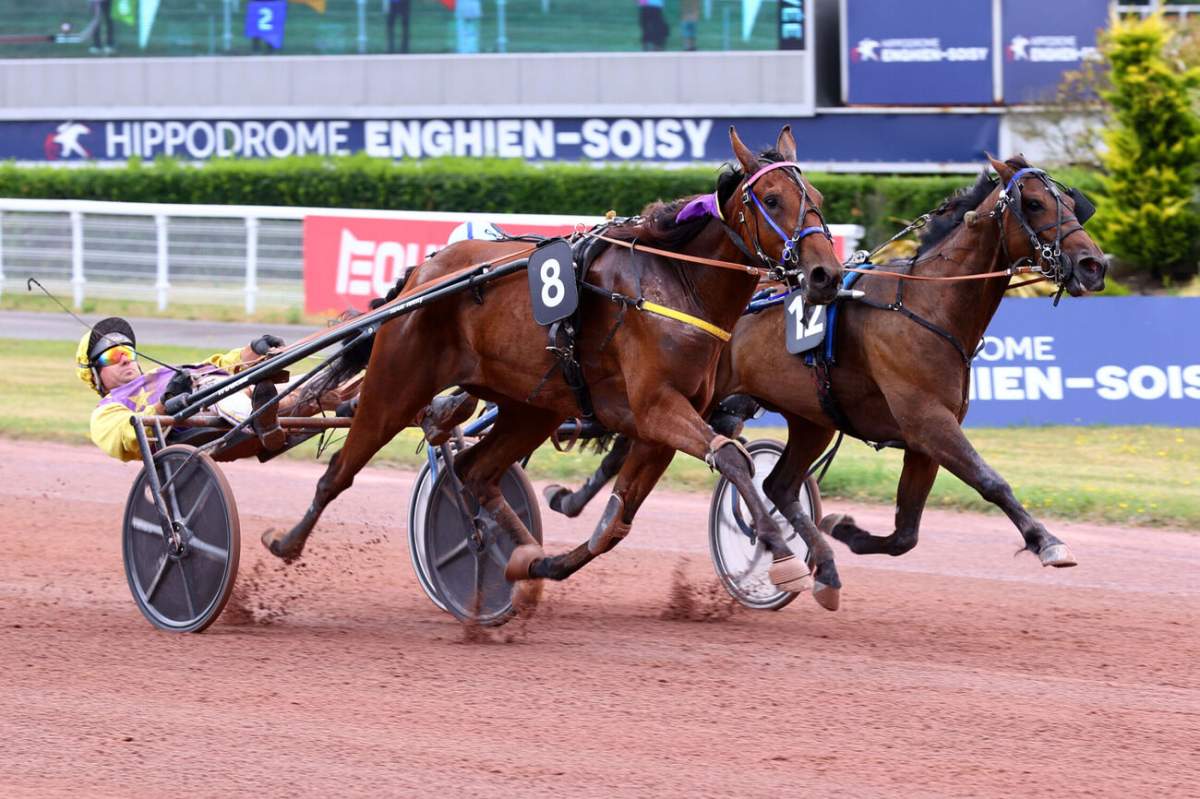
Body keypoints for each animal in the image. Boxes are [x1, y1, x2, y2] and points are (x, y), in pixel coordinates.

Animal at [263, 126, 845, 608]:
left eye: (817, 199)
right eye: (771, 199)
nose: (825, 274)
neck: (677, 284)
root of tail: (424, 272)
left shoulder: (659, 427)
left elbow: (614, 525)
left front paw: (542, 563)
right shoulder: (657, 408)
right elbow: (732, 460)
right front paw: (785, 557)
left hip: (531, 406)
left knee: (475, 471)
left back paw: (518, 556)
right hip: (396, 385)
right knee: (339, 473)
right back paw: (285, 540)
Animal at [540, 155, 1108, 610]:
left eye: (1072, 203)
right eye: (1033, 203)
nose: (1093, 265)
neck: (926, 305)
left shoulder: (924, 438)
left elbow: (906, 533)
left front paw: (846, 531)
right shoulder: (928, 422)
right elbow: (992, 482)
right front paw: (1048, 542)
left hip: (807, 415)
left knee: (776, 484)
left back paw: (822, 564)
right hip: (685, 395)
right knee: (634, 448)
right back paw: (570, 501)